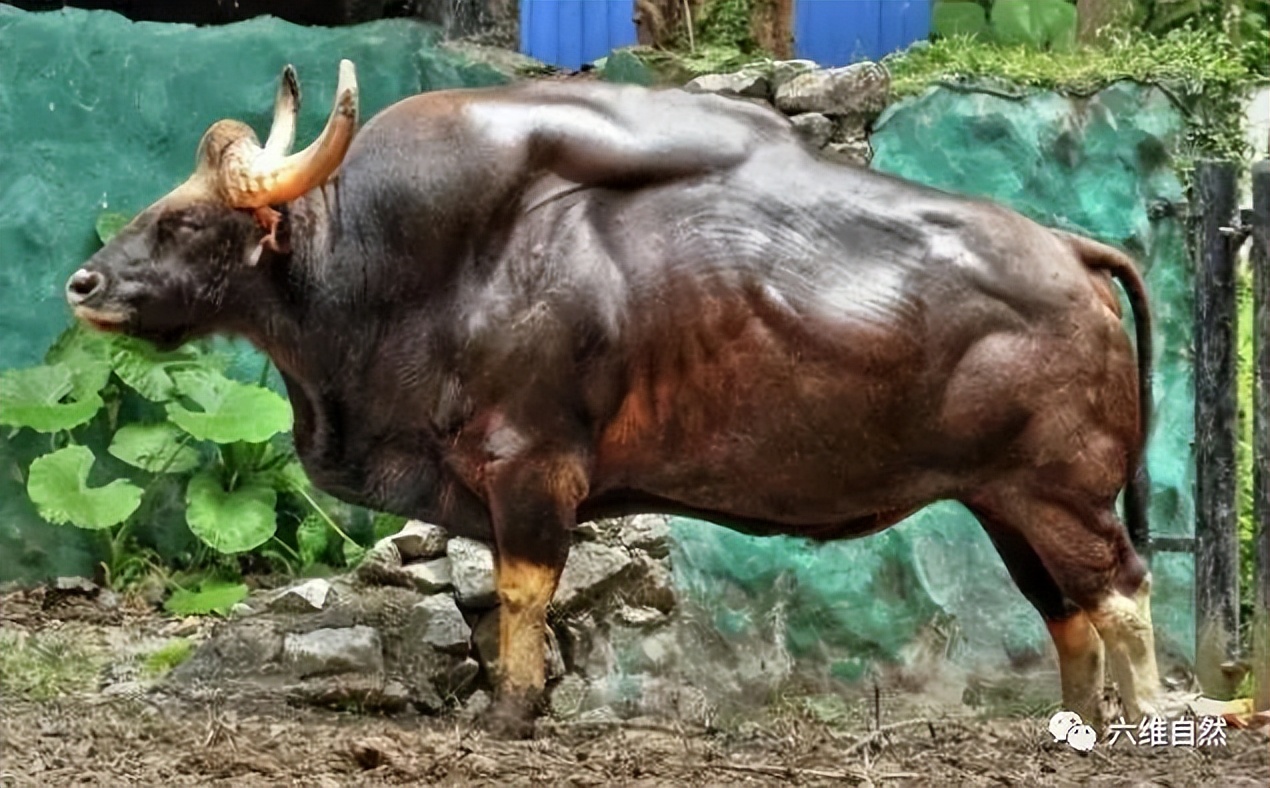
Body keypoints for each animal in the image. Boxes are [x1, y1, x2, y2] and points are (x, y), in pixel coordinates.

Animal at [65, 60, 1160, 737]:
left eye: (190, 224)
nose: (84, 283)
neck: (415, 263)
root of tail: (1072, 252)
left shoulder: (530, 468)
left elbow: (521, 592)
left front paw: (510, 713)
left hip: (1062, 495)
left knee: (1122, 591)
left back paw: (1148, 721)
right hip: (1003, 500)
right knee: (1067, 611)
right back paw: (1074, 726)